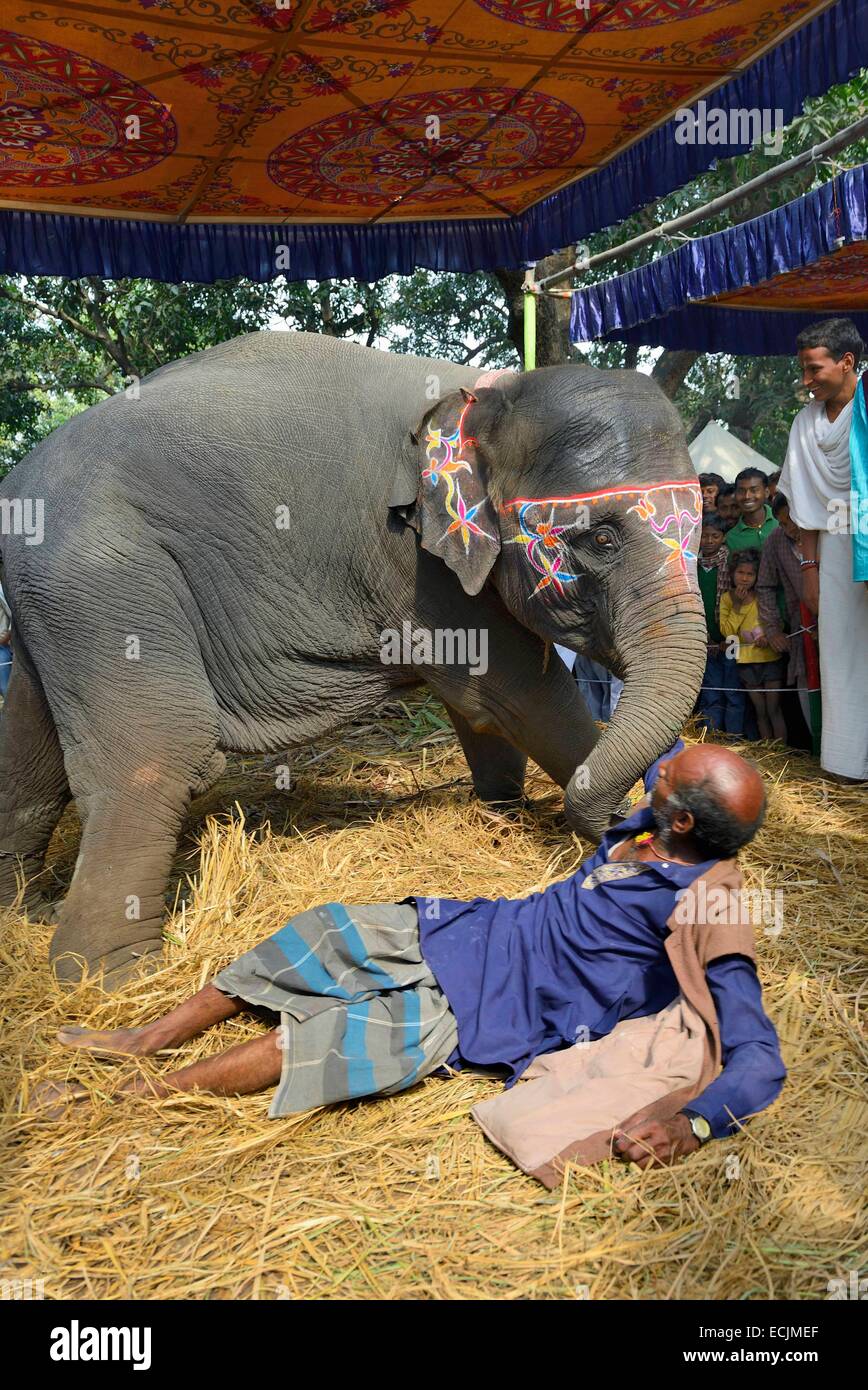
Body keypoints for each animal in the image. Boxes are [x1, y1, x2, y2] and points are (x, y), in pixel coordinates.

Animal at [0, 331, 705, 985]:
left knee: (31, 756)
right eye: (602, 539)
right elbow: (515, 692)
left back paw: (22, 913)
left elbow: (479, 704)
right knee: (158, 757)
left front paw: (504, 814)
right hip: (103, 576)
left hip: (51, 601)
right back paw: (112, 980)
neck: (487, 391)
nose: (643, 820)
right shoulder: (413, 558)